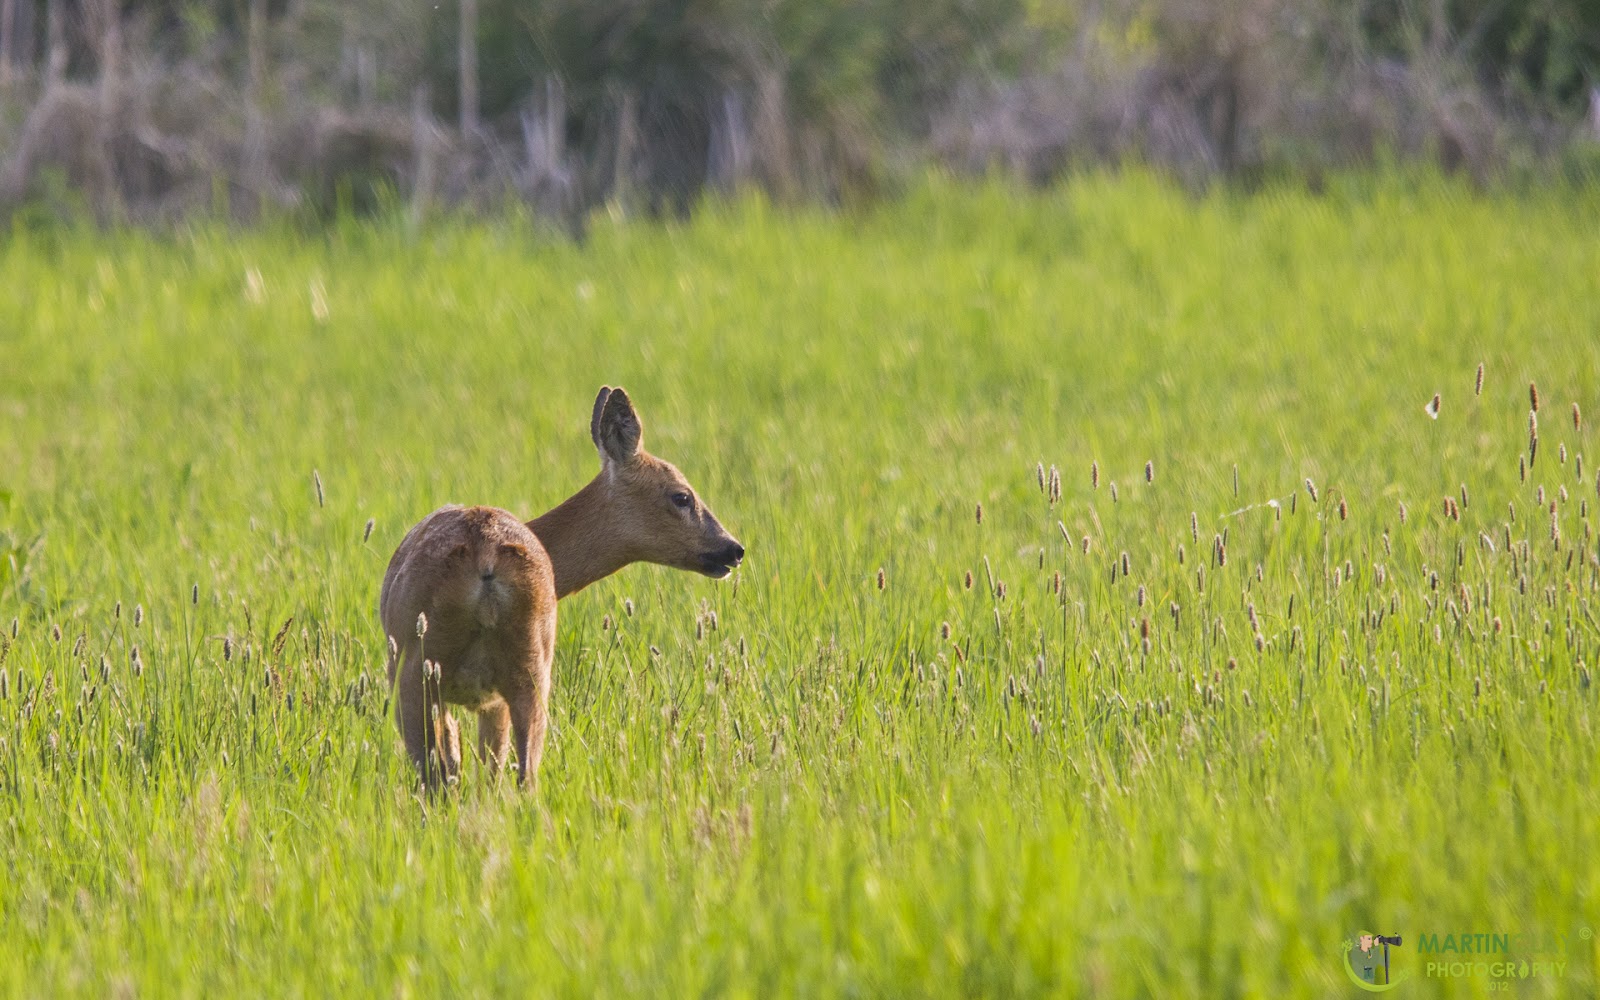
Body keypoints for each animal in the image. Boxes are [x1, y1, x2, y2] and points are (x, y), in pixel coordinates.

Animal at [379, 386, 744, 789]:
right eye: (682, 496)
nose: (733, 548)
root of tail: (485, 548)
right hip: (510, 668)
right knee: (513, 773)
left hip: (422, 668)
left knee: (451, 776)